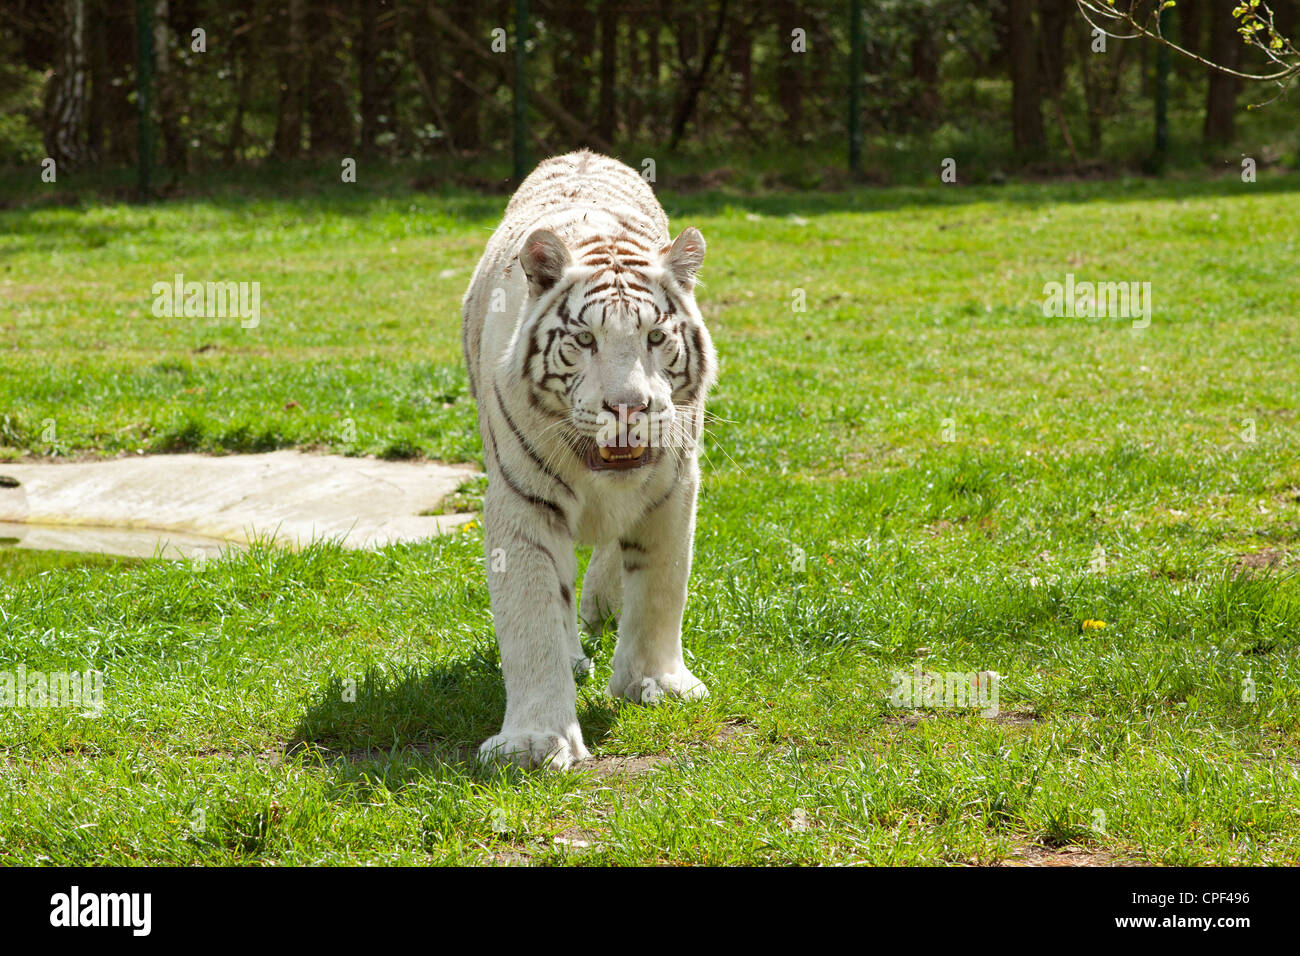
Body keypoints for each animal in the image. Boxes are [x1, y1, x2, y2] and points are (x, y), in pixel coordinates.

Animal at [460, 150, 717, 770]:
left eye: (655, 337)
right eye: (584, 340)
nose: (627, 407)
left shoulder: (674, 486)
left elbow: (661, 588)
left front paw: (656, 683)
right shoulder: (522, 500)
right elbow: (532, 617)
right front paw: (534, 741)